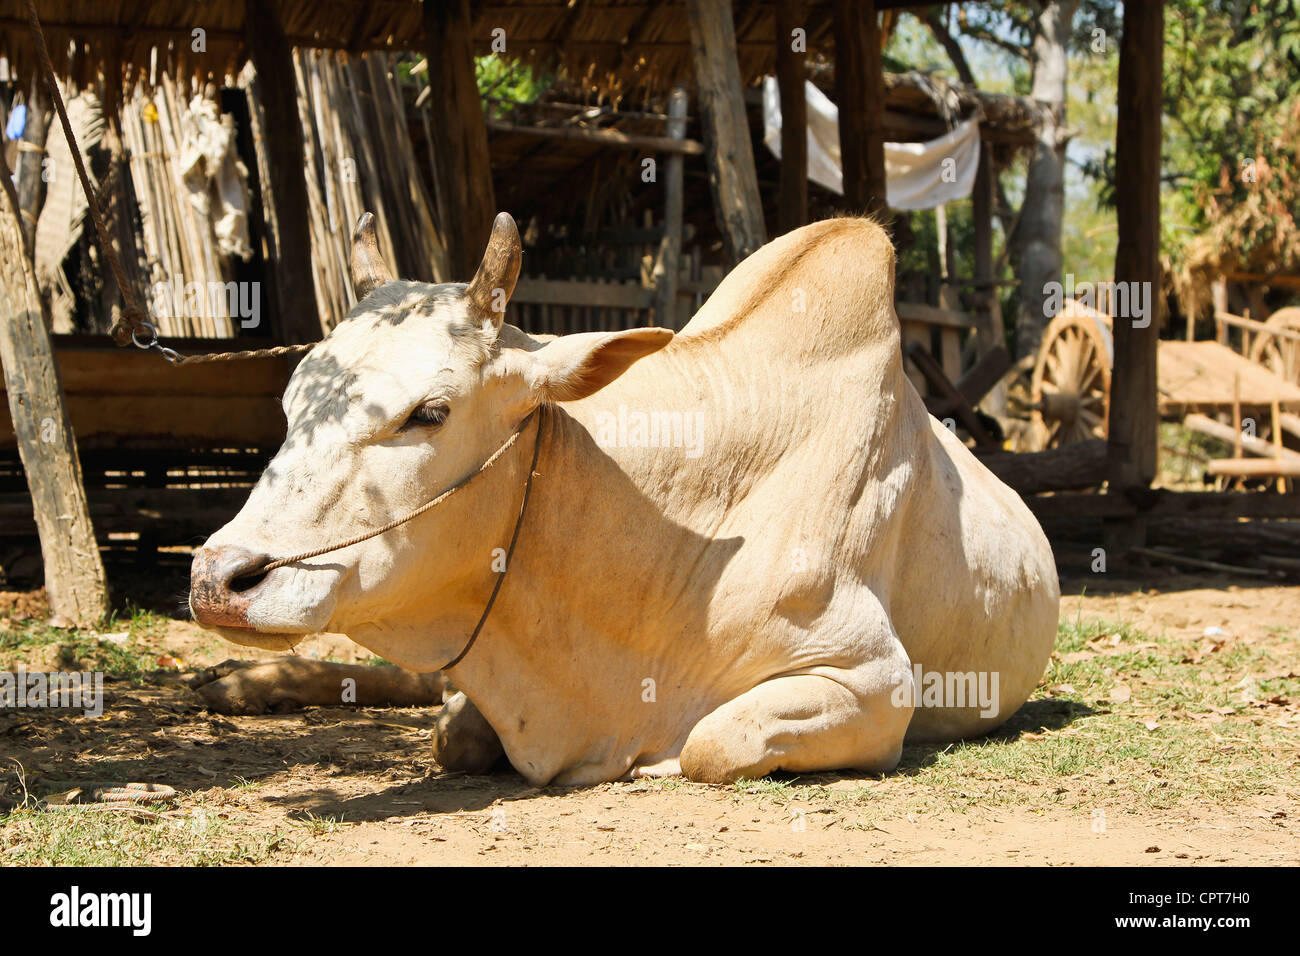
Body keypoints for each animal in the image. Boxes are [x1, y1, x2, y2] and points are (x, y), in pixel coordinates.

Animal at [189, 211, 1059, 786]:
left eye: (428, 413)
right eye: (292, 402)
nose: (216, 579)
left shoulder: (876, 679)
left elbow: (709, 745)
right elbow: (452, 733)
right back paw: (241, 683)